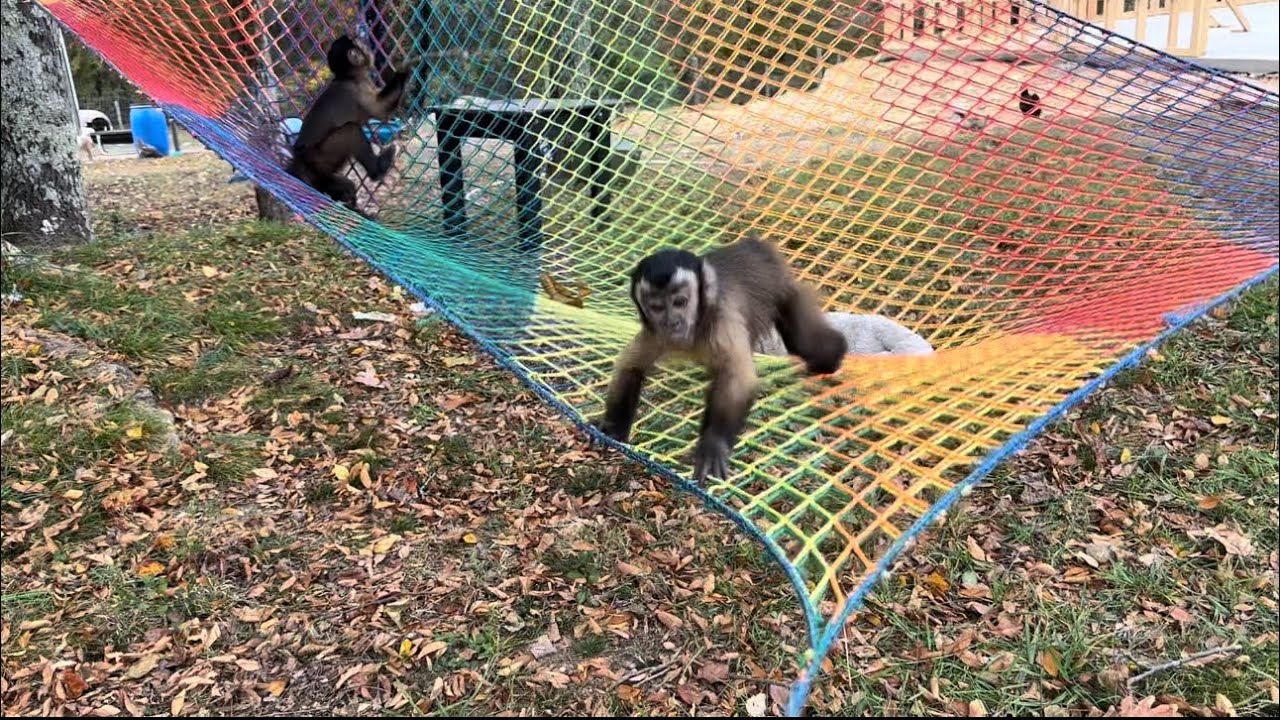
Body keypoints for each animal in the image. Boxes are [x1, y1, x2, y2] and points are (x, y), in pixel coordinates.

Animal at [286, 34, 411, 215]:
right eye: (361, 45)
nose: (368, 46)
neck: (350, 76)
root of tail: (299, 160)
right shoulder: (357, 90)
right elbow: (380, 111)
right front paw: (404, 71)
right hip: (319, 158)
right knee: (350, 130)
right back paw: (377, 170)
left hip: (321, 174)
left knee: (343, 186)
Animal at [594, 237, 848, 481]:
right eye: (656, 307)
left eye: (680, 302)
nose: (673, 322)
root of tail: (753, 245)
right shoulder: (656, 333)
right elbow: (630, 367)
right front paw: (614, 426)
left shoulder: (722, 321)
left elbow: (738, 378)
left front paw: (713, 443)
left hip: (783, 288)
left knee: (812, 348)